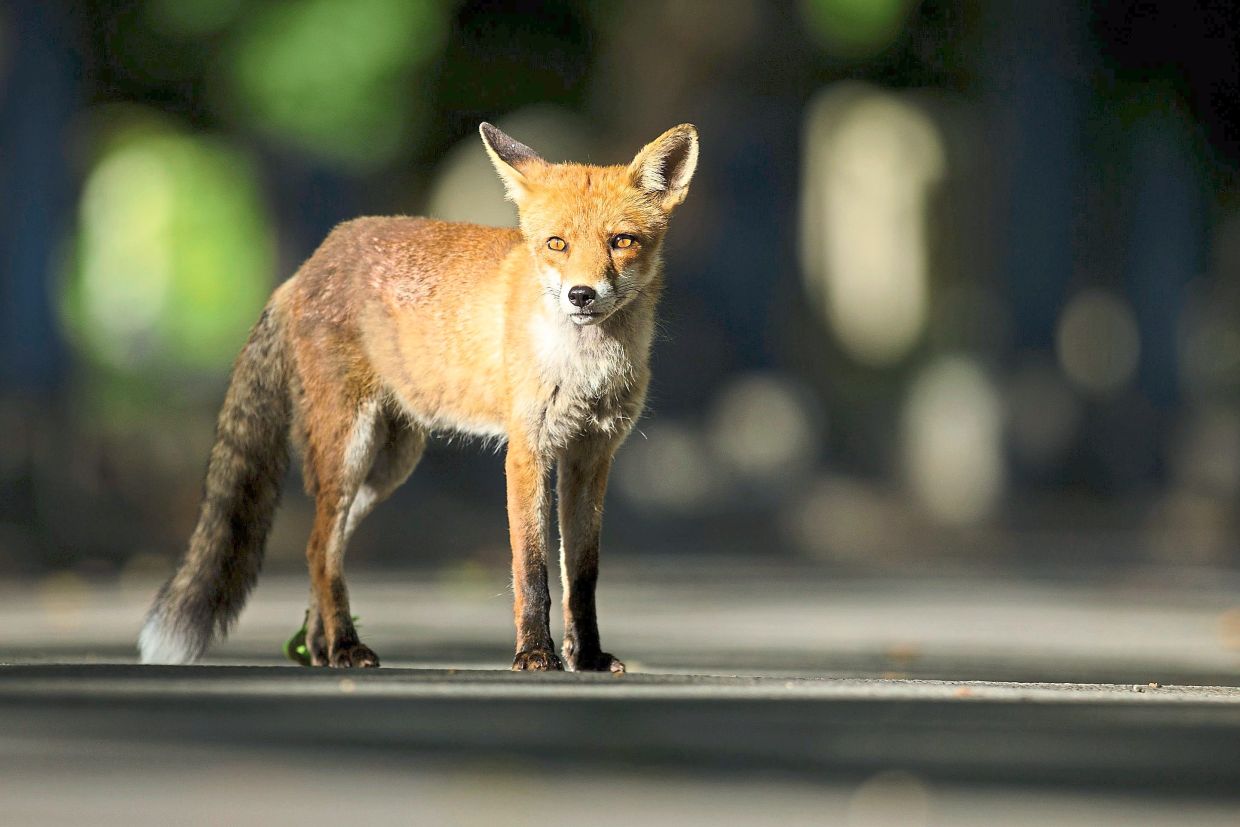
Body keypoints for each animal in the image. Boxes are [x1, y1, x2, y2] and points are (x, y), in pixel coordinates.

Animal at [138, 121, 699, 672]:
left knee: (327, 549)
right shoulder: (528, 451)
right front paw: (535, 653)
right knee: (319, 549)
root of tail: (307, 266)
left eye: (621, 241)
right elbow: (533, 569)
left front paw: (588, 656)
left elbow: (582, 574)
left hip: (387, 467)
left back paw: (321, 647)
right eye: (555, 244)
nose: (580, 295)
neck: (586, 367)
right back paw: (346, 646)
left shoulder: (591, 455)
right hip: (349, 450)